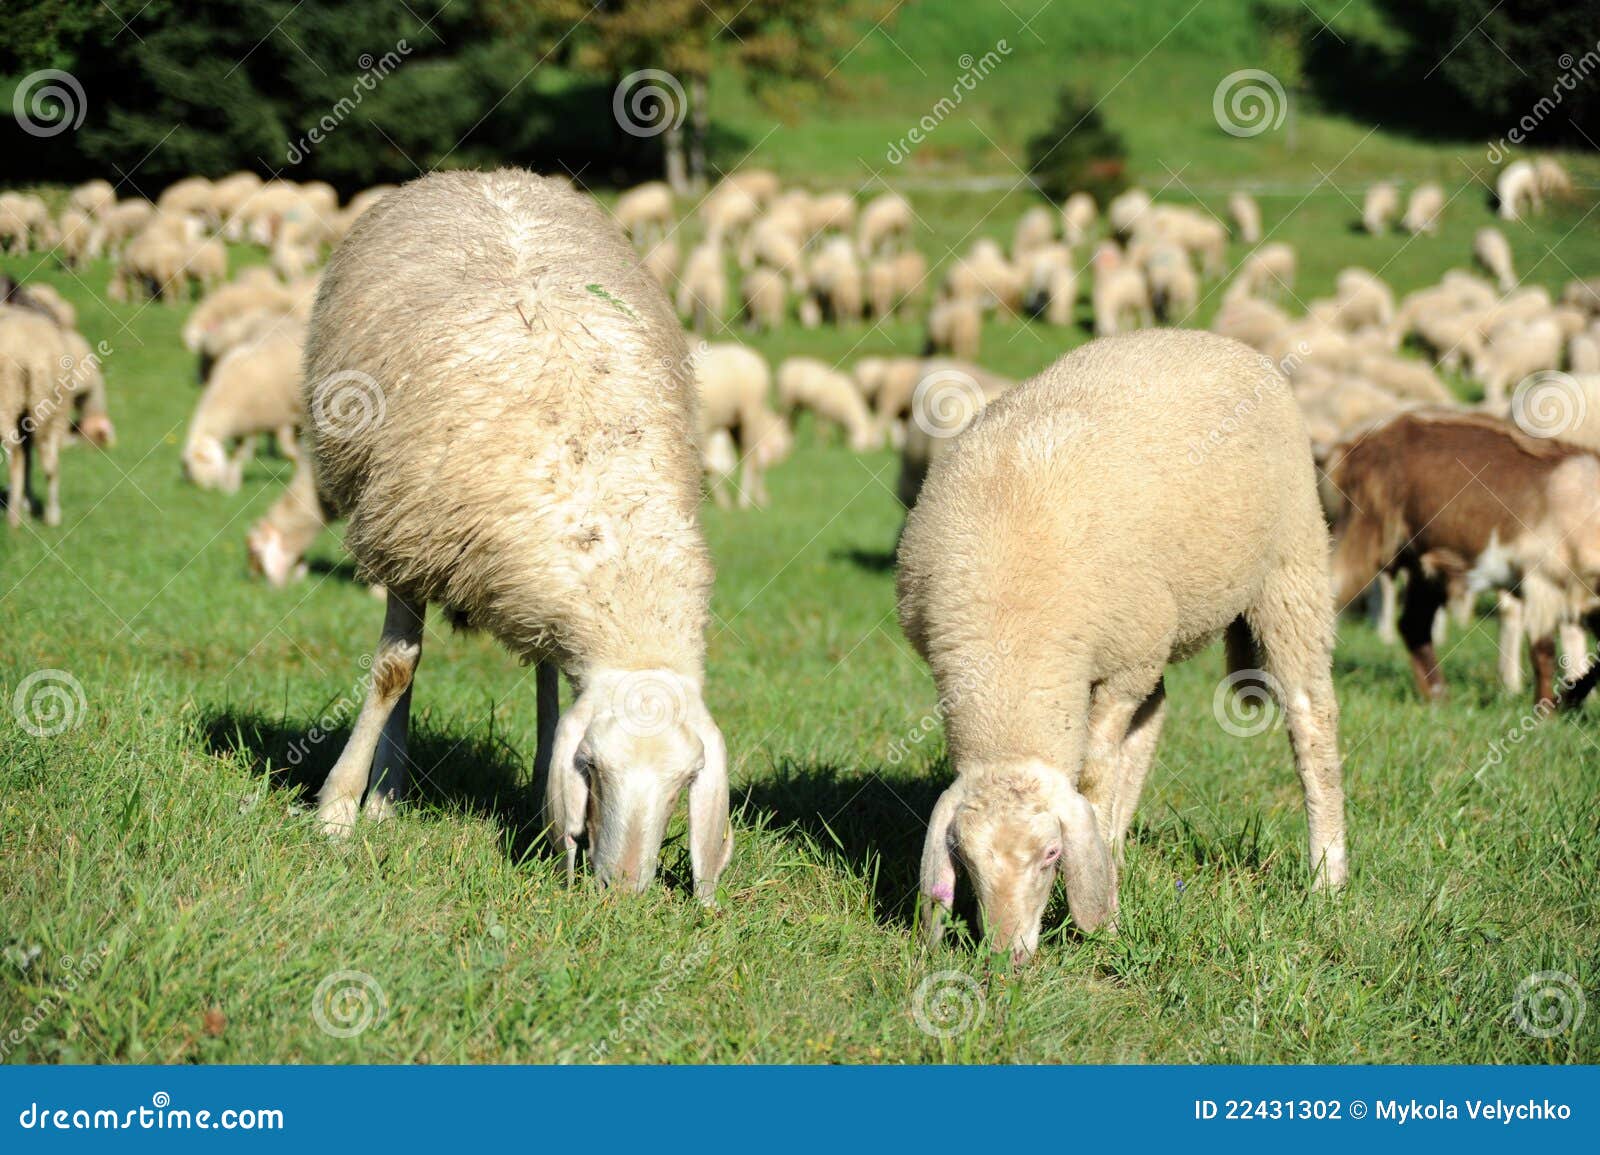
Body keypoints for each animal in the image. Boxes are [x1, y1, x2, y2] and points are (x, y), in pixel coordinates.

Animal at [182, 324, 306, 492]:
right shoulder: (241, 427)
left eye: (204, 464)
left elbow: (290, 452)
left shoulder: (283, 418)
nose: (205, 491)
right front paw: (231, 486)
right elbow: (237, 455)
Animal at [302, 171, 732, 899]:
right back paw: (385, 795)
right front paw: (338, 811)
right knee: (405, 663)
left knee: (544, 669)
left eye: (684, 782)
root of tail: (490, 175)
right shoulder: (410, 532)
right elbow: (393, 670)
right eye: (591, 767)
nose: (623, 891)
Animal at [898, 330, 1346, 961]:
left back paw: (1327, 877)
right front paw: (1105, 876)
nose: (1007, 958)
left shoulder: (1124, 664)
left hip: (1290, 566)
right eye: (965, 859)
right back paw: (1118, 852)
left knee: (1312, 721)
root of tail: (1218, 340)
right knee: (1154, 715)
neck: (1010, 644)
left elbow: (1095, 773)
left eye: (1051, 855)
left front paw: (1097, 917)